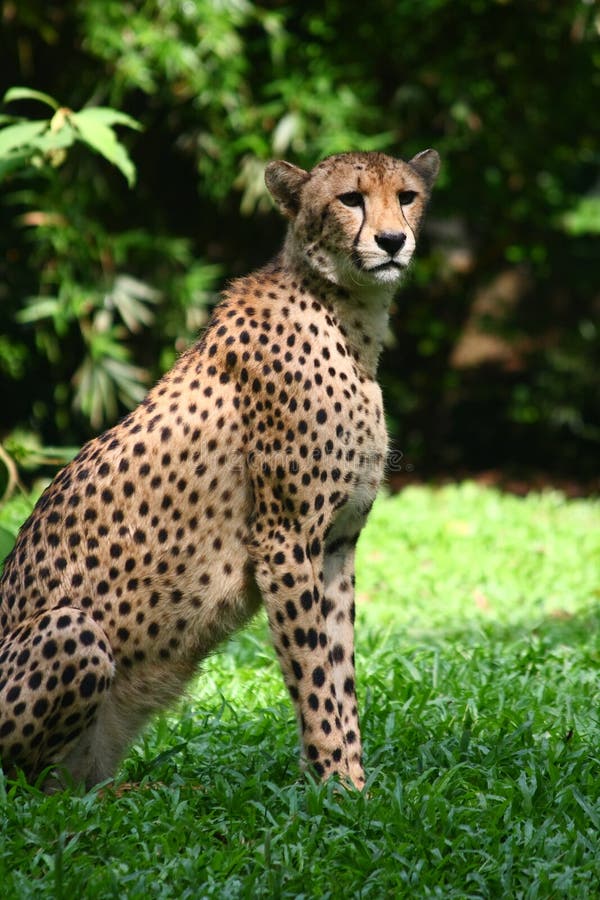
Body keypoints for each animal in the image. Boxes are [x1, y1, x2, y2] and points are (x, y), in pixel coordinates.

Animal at [0, 148, 440, 791]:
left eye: (406, 196)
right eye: (350, 199)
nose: (391, 241)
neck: (347, 313)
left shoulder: (337, 545)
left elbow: (340, 671)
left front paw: (356, 783)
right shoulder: (284, 539)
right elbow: (313, 675)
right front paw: (334, 785)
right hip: (72, 629)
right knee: (24, 785)